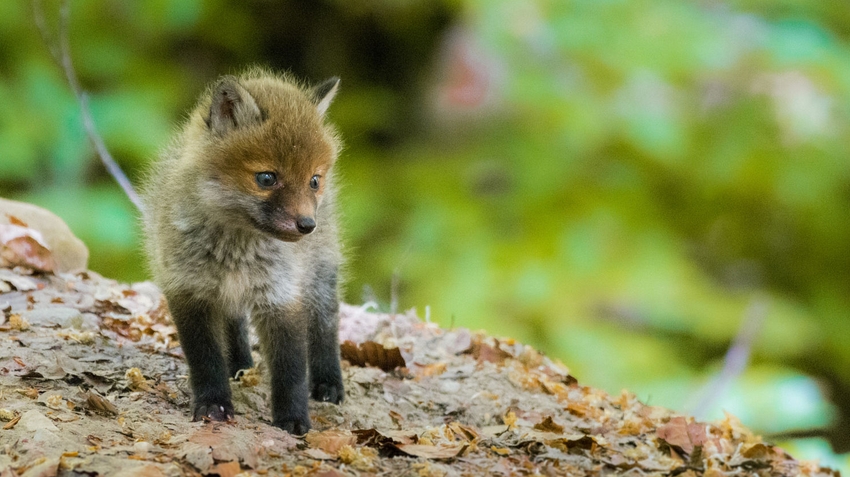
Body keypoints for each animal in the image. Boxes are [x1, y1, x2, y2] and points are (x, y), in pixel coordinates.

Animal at [142, 68, 345, 434]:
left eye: (314, 180)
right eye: (266, 178)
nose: (307, 225)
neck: (236, 249)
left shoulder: (281, 296)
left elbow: (291, 368)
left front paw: (293, 419)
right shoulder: (189, 291)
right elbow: (206, 360)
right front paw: (213, 404)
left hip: (320, 276)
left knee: (326, 323)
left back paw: (328, 383)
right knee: (234, 324)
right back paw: (239, 367)